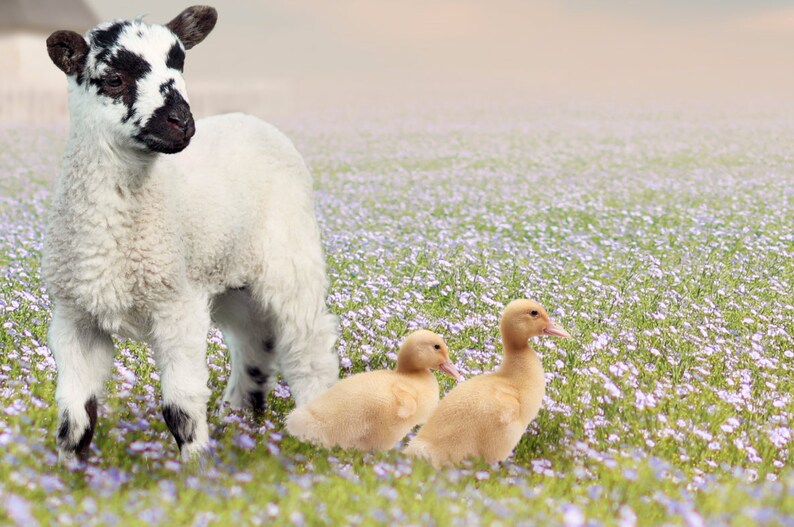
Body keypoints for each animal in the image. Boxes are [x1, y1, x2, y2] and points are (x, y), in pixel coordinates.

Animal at [43, 5, 339, 462]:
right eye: (114, 79)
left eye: (180, 65)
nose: (181, 122)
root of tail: (248, 118)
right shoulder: (75, 317)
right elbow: (75, 416)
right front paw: (69, 470)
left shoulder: (176, 305)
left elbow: (180, 407)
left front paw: (194, 468)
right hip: (229, 274)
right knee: (255, 338)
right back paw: (241, 415)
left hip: (290, 253)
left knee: (309, 343)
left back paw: (316, 430)